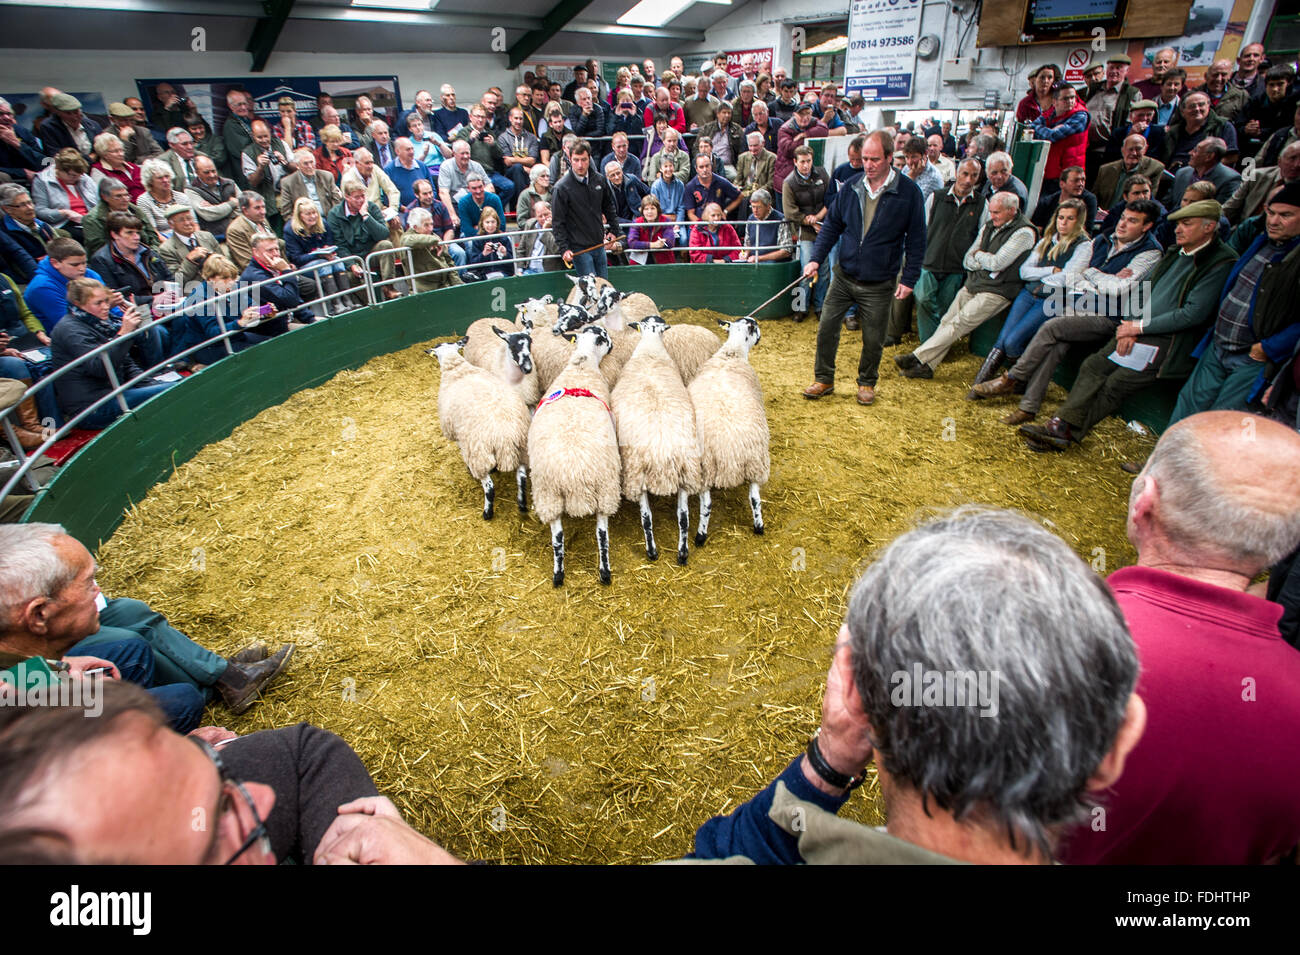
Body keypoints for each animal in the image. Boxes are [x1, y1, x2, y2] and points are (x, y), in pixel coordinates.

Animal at [430, 342, 531, 520]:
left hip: (479, 455)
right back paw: (522, 504)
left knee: (489, 487)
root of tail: (507, 434)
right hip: (522, 449)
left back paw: (487, 513)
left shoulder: (457, 435)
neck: (458, 370)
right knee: (522, 477)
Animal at [527, 324, 622, 586]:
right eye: (605, 336)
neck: (581, 365)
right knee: (602, 533)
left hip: (549, 495)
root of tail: (573, 475)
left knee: (557, 537)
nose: (613, 345)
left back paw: (558, 575)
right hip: (606, 491)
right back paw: (604, 572)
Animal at [609, 315, 703, 565]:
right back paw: (682, 553)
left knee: (646, 517)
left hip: (637, 475)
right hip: (686, 474)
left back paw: (652, 551)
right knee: (683, 516)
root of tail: (663, 453)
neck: (650, 349)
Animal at [687, 317, 769, 545]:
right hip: (742, 464)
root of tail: (729, 450)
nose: (760, 335)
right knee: (750, 499)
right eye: (755, 327)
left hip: (748, 464)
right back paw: (701, 536)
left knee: (751, 500)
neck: (731, 353)